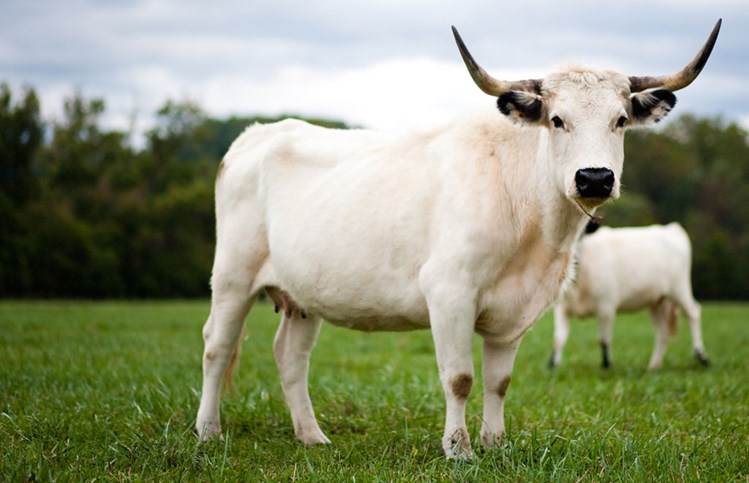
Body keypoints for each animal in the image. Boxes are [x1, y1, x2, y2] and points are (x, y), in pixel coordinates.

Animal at [549, 222, 709, 370]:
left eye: (581, 236)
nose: (573, 259)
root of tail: (671, 228)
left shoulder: (606, 307)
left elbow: (604, 339)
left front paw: (606, 365)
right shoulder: (561, 308)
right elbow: (559, 338)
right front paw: (552, 365)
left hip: (679, 289)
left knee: (693, 313)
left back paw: (701, 356)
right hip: (656, 300)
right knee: (663, 331)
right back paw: (654, 365)